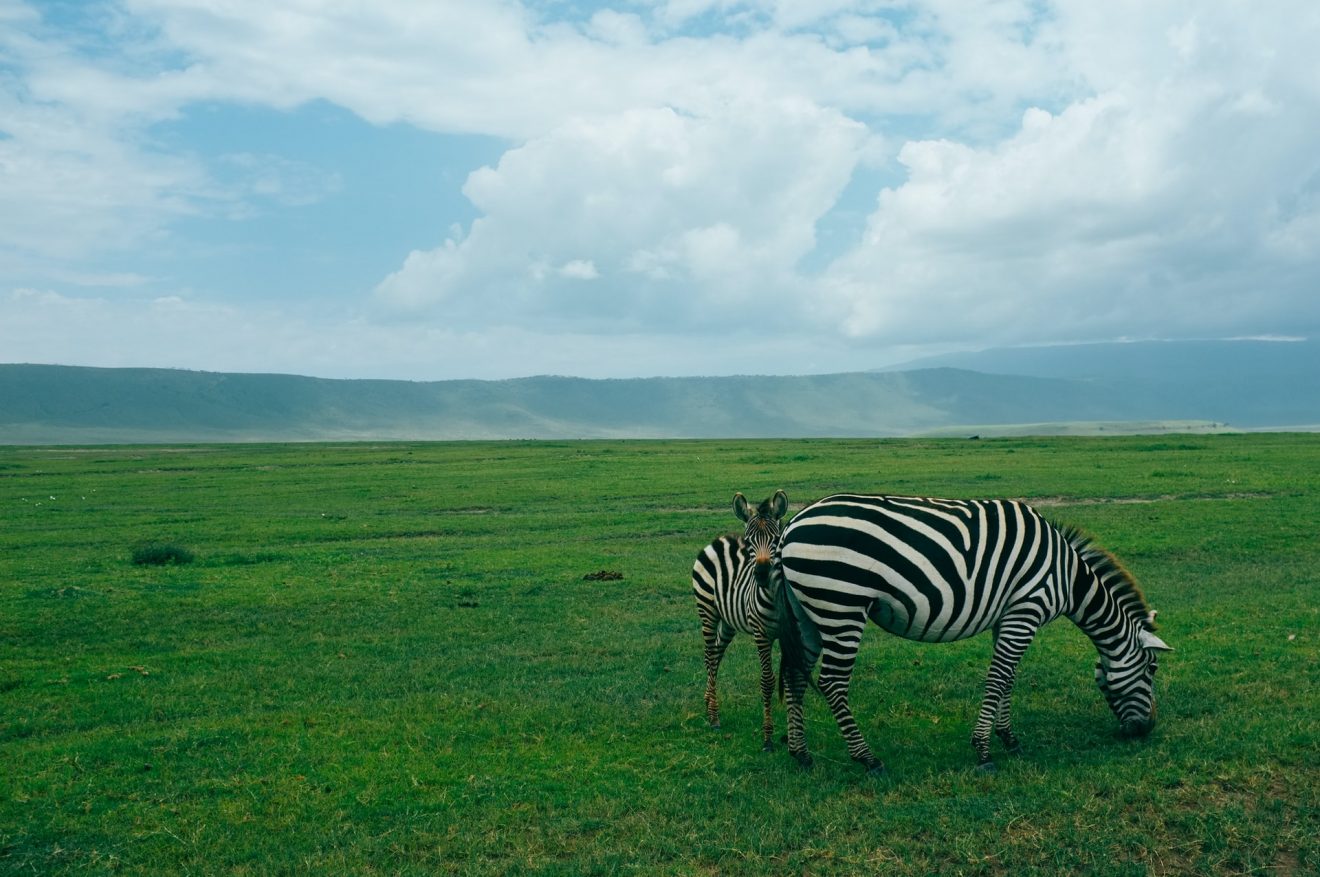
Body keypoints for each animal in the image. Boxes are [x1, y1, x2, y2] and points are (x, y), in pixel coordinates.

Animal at [691, 490, 789, 751]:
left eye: (776, 539)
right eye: (750, 541)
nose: (762, 574)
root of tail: (719, 540)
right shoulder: (761, 634)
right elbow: (767, 681)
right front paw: (768, 738)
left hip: (728, 622)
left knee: (715, 656)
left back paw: (708, 701)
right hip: (708, 611)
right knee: (708, 655)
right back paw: (714, 716)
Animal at [771, 493, 1172, 773]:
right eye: (1152, 669)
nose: (1147, 728)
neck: (1068, 577)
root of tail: (791, 526)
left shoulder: (1007, 617)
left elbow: (1009, 678)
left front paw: (1009, 738)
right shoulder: (1026, 610)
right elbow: (997, 678)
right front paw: (983, 751)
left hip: (808, 614)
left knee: (794, 675)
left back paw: (800, 754)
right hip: (841, 606)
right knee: (832, 683)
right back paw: (868, 759)